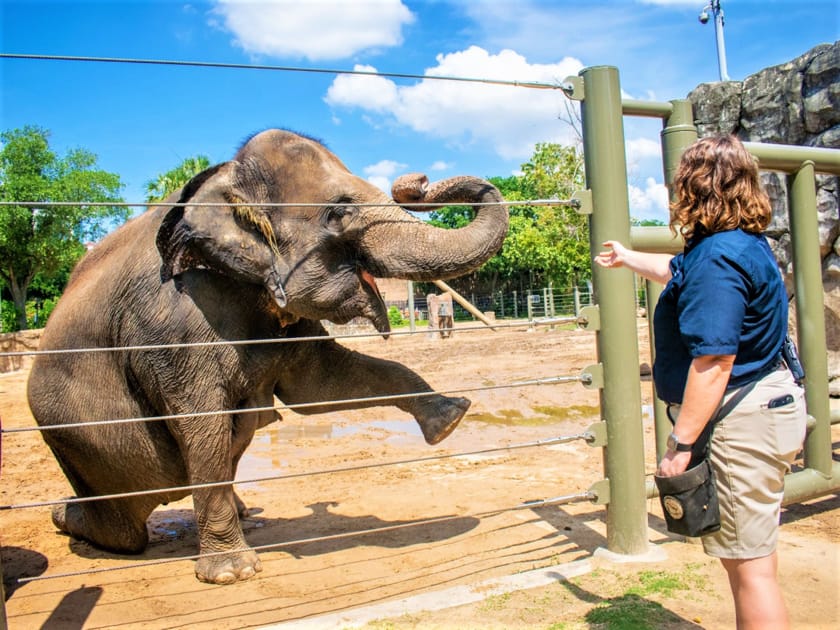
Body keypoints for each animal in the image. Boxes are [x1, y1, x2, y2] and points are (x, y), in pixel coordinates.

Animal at [26, 128, 508, 584]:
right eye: (338, 213)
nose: (417, 183)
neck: (225, 183)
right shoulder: (171, 321)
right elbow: (203, 419)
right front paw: (232, 574)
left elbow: (320, 386)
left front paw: (450, 419)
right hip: (85, 450)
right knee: (124, 530)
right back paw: (61, 514)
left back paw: (243, 512)